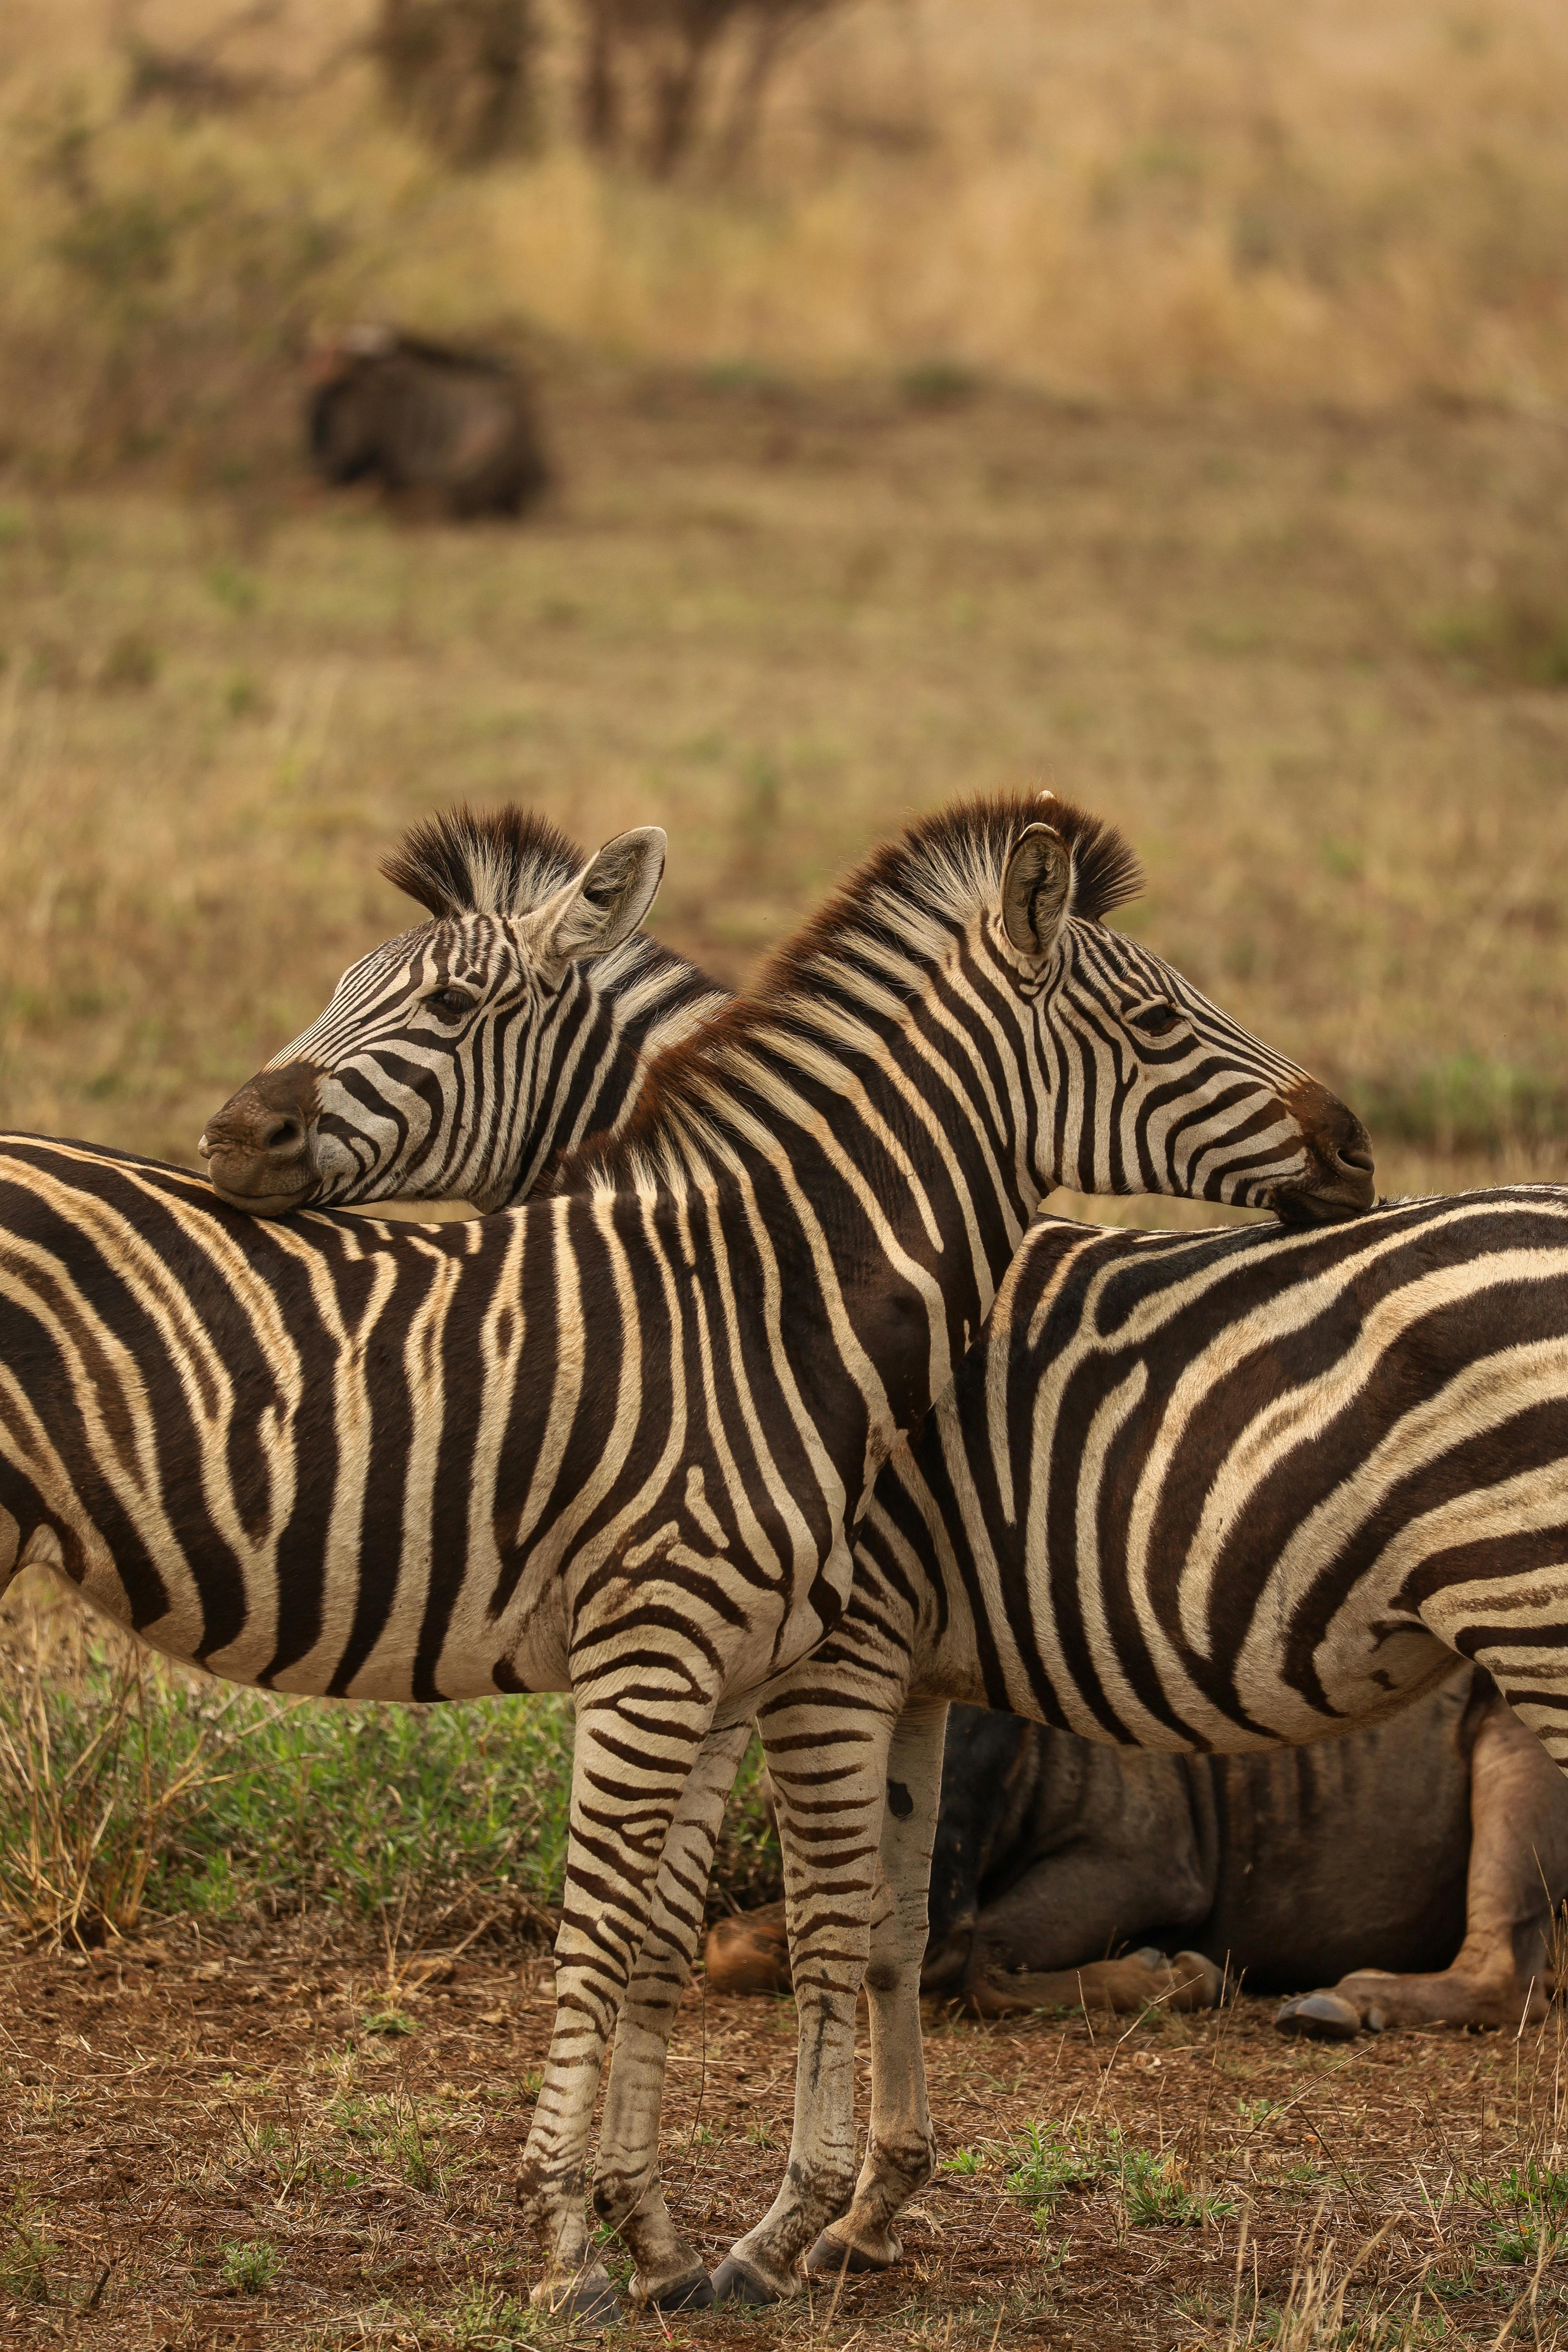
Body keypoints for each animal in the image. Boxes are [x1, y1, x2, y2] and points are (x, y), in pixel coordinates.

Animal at [205, 792, 1374, 2318]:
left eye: (451, 1006)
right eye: (348, 985)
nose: (235, 1134)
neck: (755, 1273)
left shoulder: (815, 1643)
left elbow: (803, 1924)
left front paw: (724, 2224)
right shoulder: (780, 1650)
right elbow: (758, 1928)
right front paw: (768, 2218)